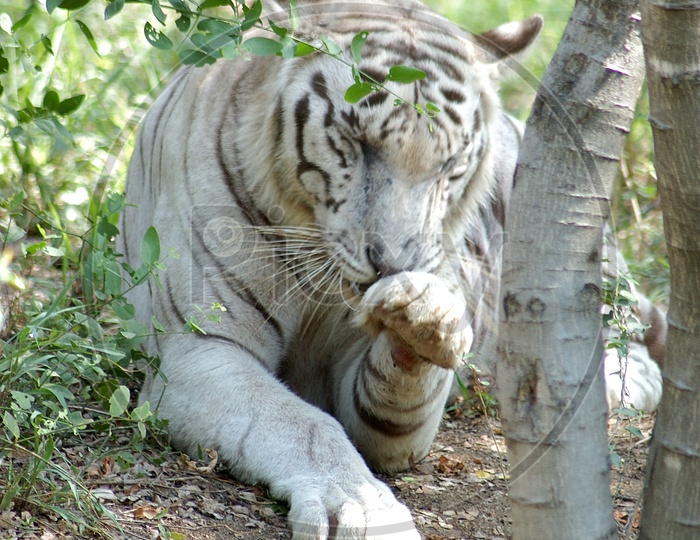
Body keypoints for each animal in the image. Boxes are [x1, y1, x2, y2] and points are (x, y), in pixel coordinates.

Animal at [119, 0, 665, 537]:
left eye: (451, 164)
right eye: (356, 141)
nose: (394, 263)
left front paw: (424, 320)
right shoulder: (199, 351)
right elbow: (304, 426)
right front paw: (366, 509)